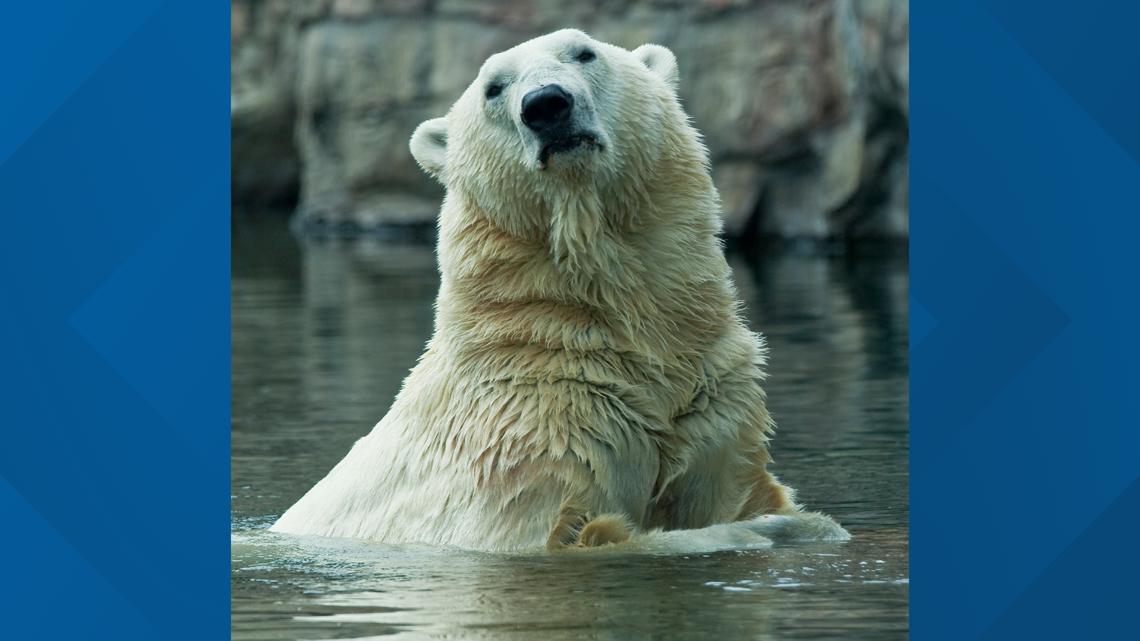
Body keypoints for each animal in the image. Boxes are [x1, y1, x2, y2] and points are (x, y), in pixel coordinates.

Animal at [270, 29, 848, 552]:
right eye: (493, 88)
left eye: (584, 52)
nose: (546, 104)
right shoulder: (530, 446)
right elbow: (587, 536)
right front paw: (781, 527)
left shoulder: (711, 404)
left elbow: (727, 490)